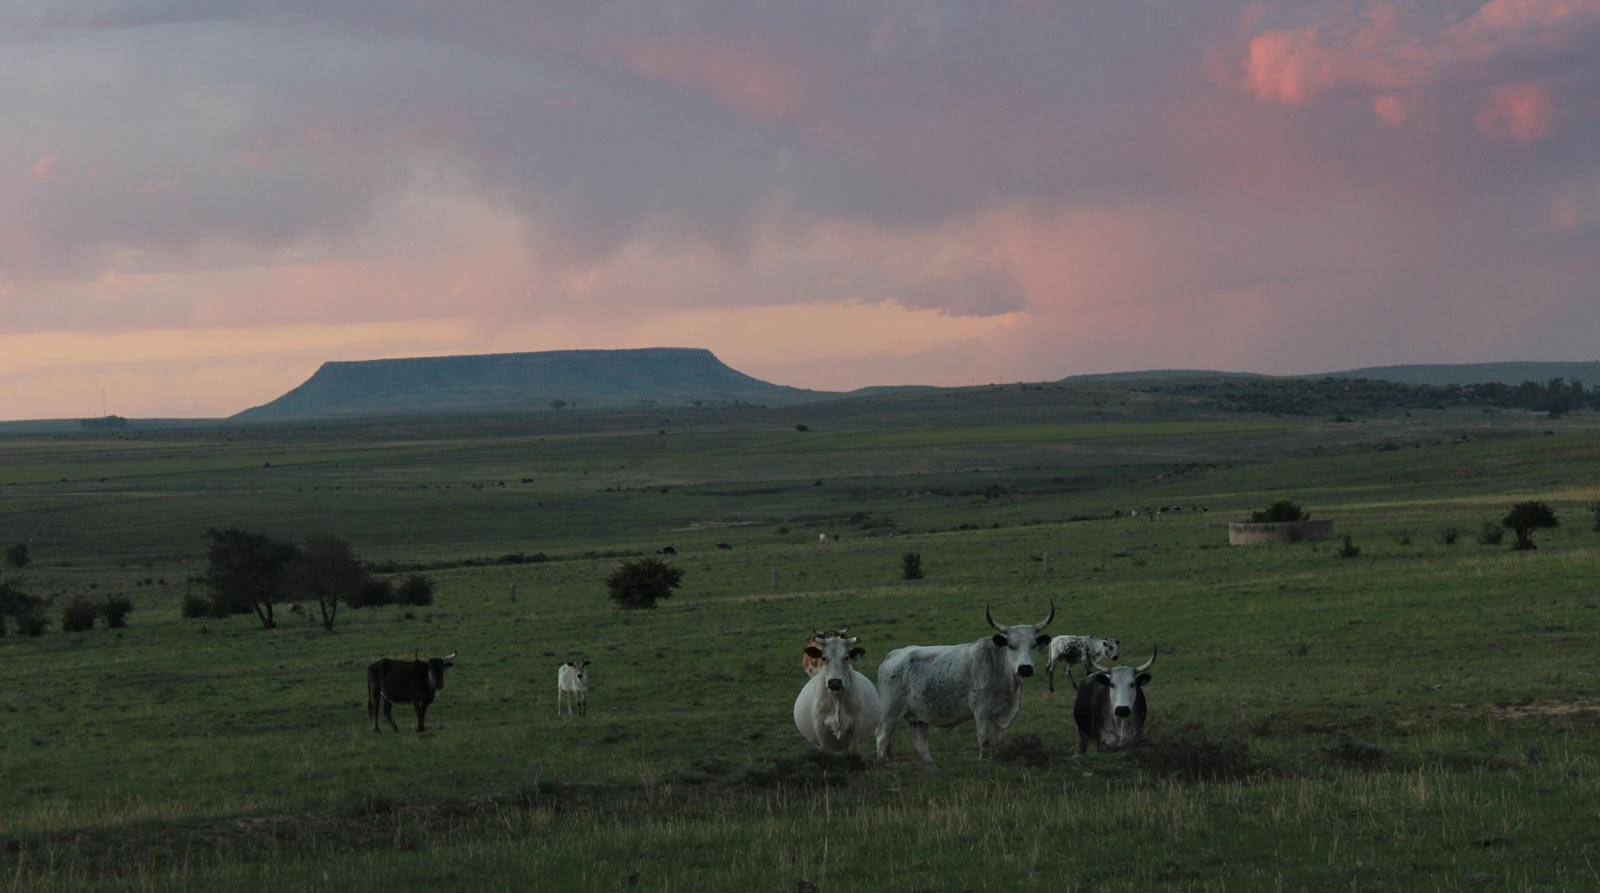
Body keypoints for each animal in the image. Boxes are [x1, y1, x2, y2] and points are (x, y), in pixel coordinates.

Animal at [874, 602, 1055, 763]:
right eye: (1011, 645)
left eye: (1034, 645)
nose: (1025, 668)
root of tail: (893, 654)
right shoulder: (980, 710)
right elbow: (984, 738)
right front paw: (984, 759)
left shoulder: (1005, 714)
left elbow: (999, 741)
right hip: (890, 712)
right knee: (882, 737)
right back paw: (883, 761)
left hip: (918, 717)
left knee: (920, 742)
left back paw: (930, 764)